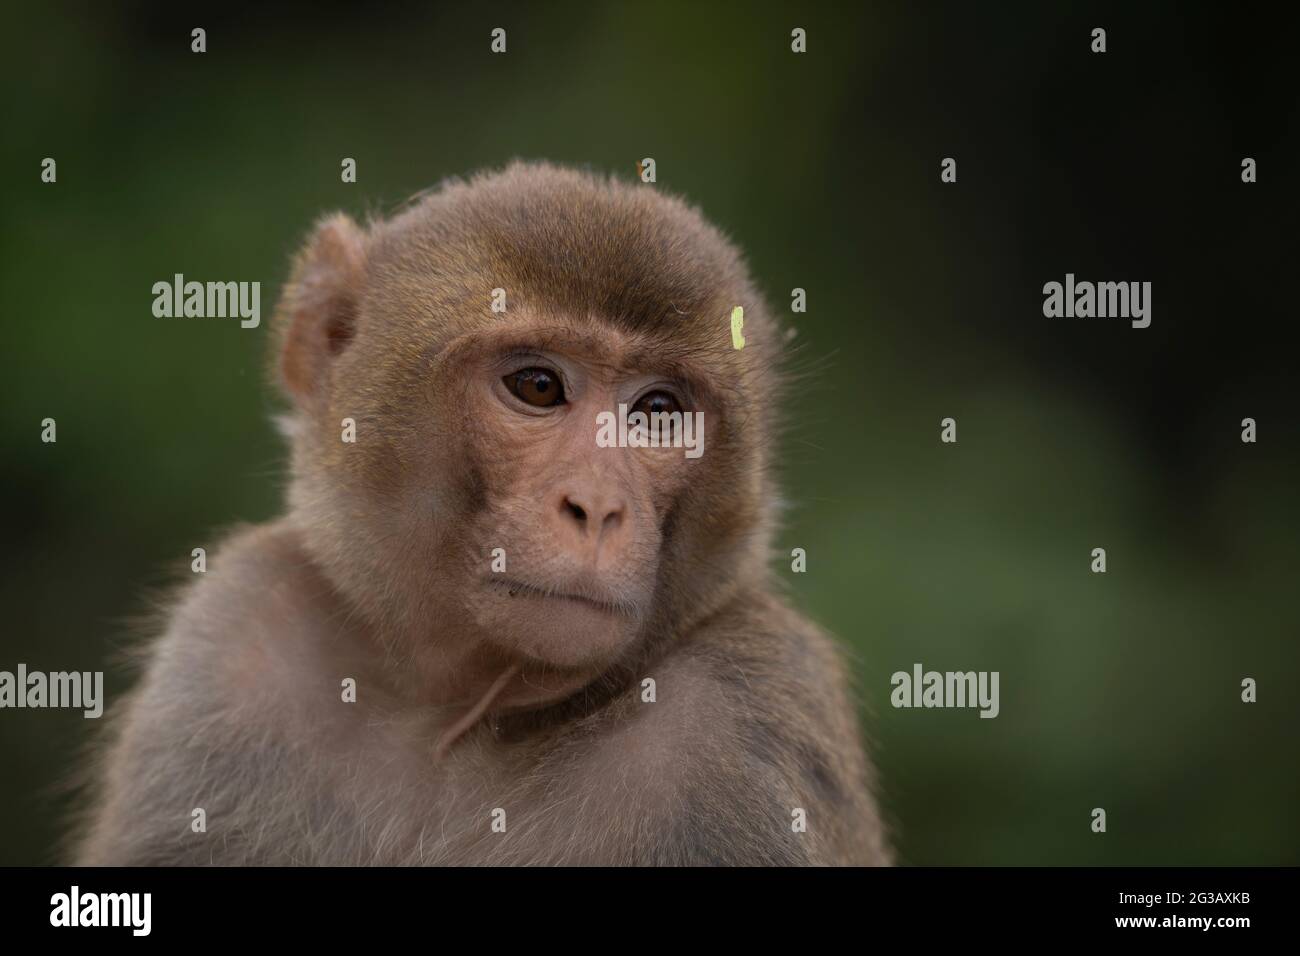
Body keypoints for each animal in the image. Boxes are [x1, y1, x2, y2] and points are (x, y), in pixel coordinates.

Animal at [73, 161, 891, 866]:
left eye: (659, 413)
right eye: (538, 386)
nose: (596, 507)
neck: (448, 719)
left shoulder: (743, 726)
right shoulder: (230, 647)